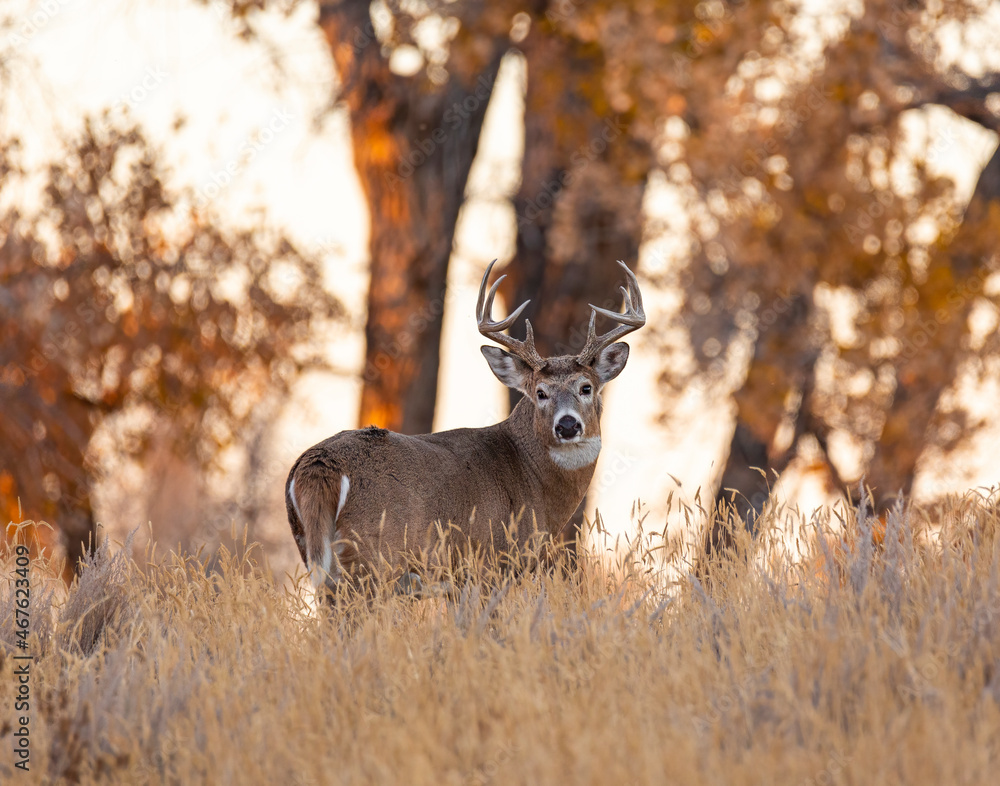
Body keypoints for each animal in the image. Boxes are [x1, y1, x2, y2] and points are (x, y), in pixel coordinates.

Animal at [284, 260, 645, 595]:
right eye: (540, 393)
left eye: (586, 387)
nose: (568, 425)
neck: (532, 480)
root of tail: (319, 464)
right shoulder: (490, 563)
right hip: (372, 558)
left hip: (313, 550)